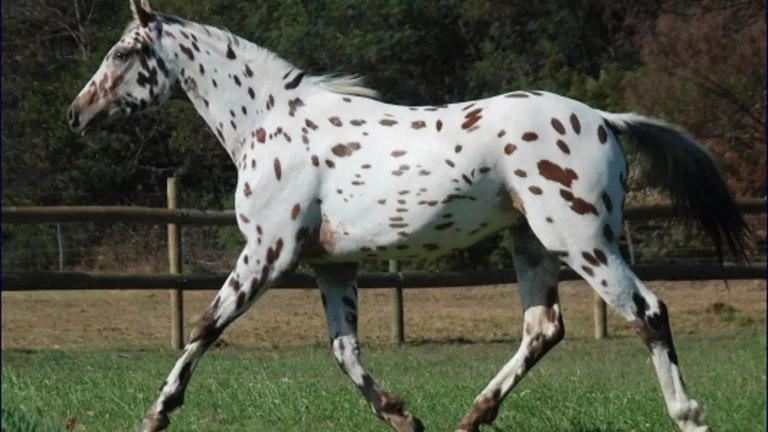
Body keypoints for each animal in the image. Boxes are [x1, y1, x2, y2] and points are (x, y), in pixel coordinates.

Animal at [68, 2, 747, 431]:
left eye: (124, 52)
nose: (78, 113)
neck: (269, 121)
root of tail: (604, 118)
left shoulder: (268, 253)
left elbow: (205, 326)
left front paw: (156, 413)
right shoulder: (329, 266)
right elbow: (344, 350)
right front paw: (405, 417)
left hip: (583, 240)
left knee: (647, 313)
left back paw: (689, 416)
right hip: (531, 245)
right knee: (542, 329)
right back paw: (470, 418)